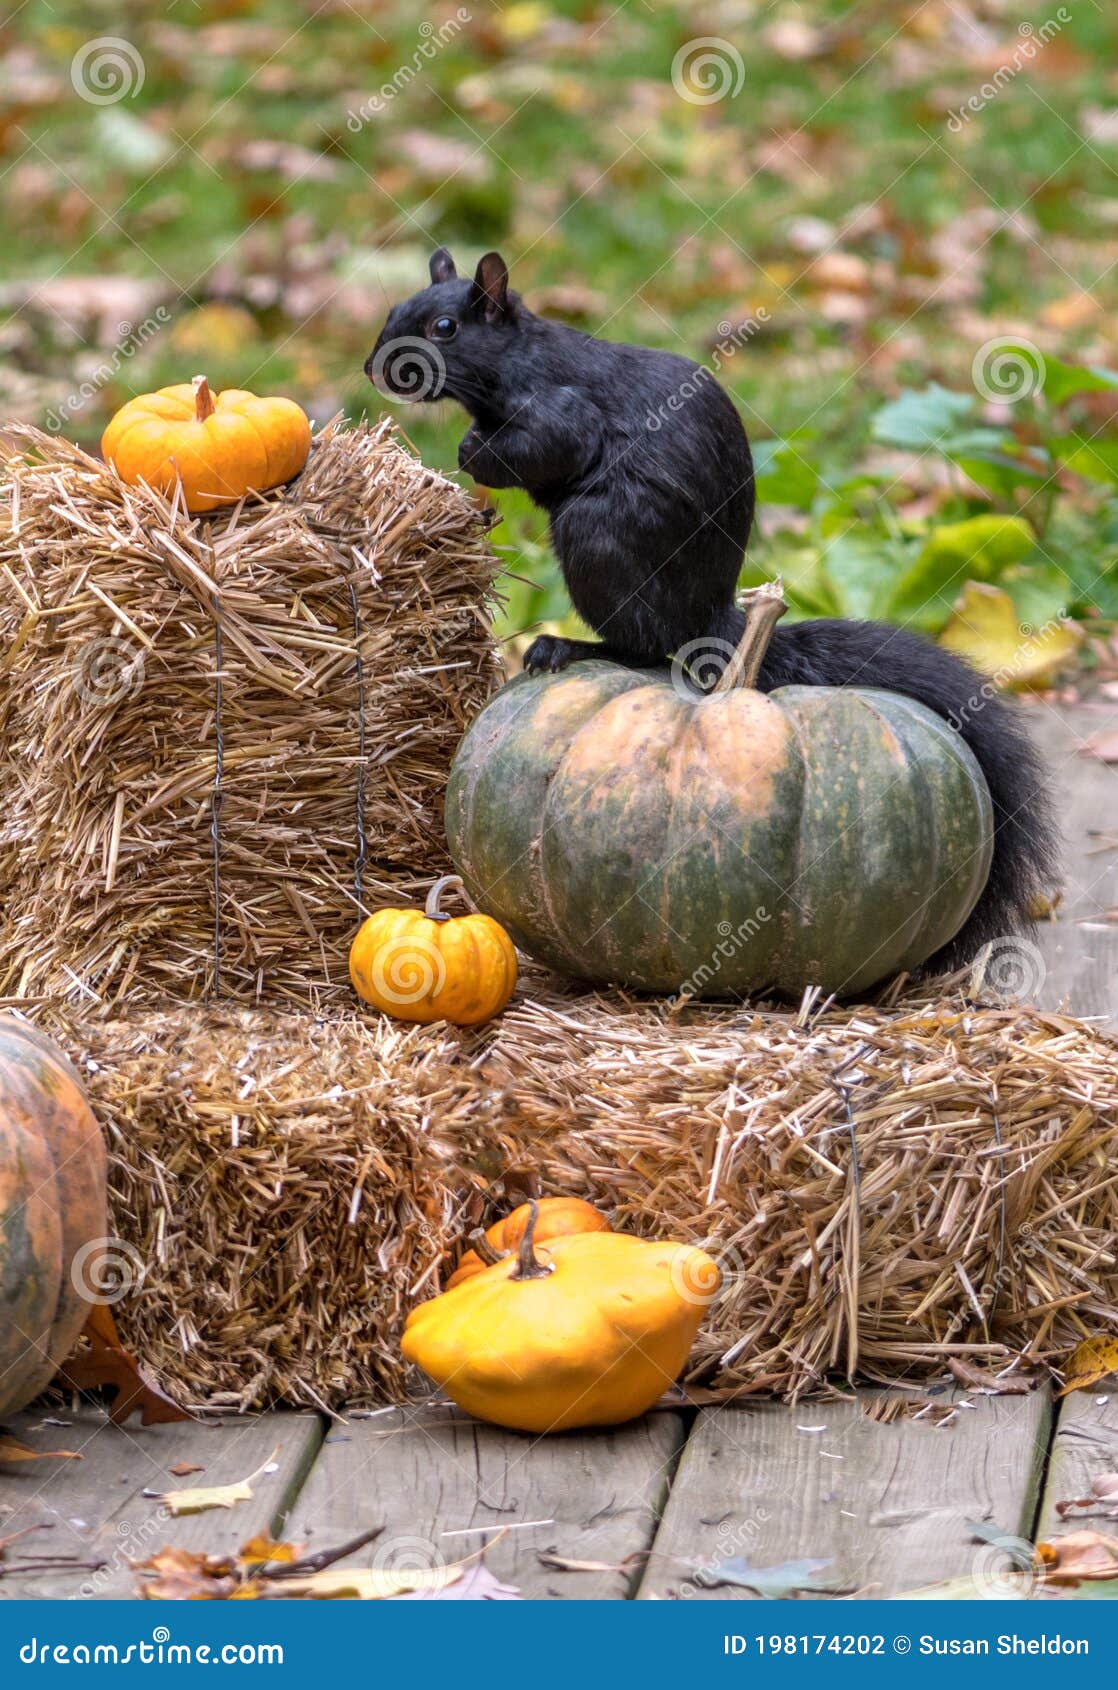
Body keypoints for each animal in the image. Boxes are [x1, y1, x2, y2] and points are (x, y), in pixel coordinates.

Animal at [368, 248, 1057, 968]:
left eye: (445, 328)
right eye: (396, 311)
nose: (375, 369)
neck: (516, 361)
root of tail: (715, 622)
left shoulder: (560, 408)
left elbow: (545, 447)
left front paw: (472, 453)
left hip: (600, 540)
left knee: (645, 644)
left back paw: (571, 647)